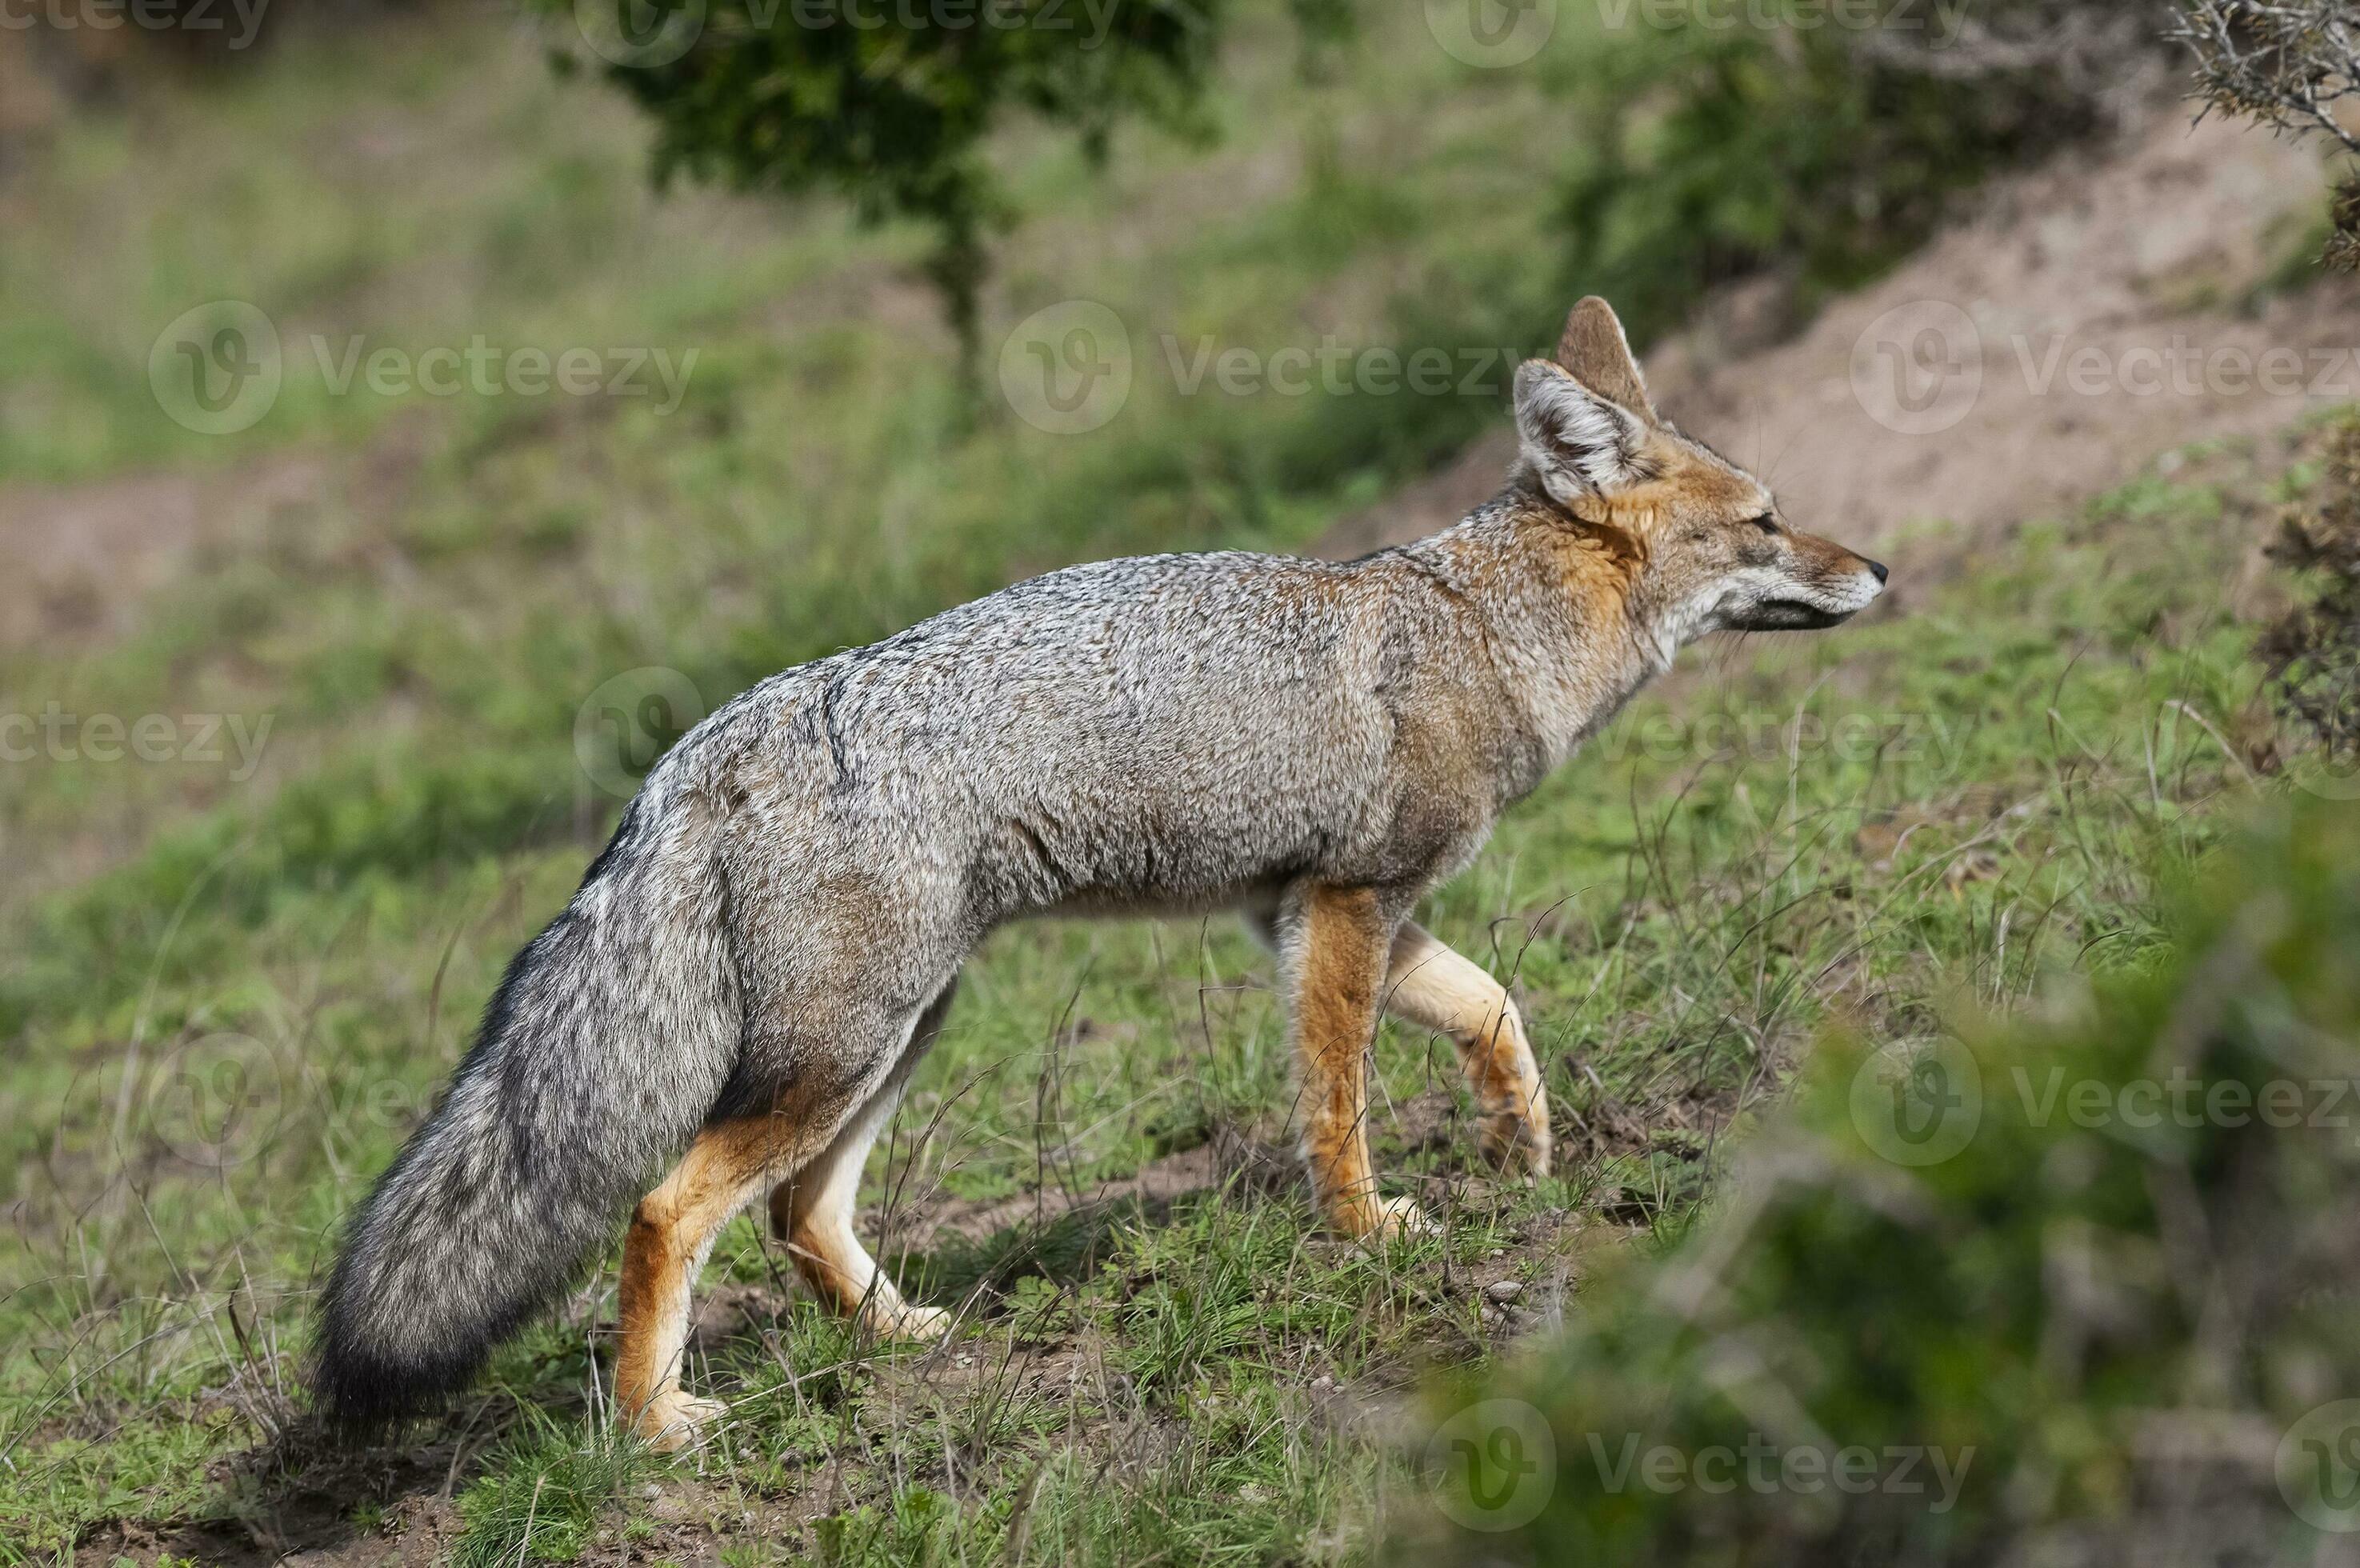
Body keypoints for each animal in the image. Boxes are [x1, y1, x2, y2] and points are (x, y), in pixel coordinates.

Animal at [313, 297, 1888, 1449]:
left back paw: (905, 1340)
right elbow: (1337, 1102)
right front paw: (1368, 1232)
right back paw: (655, 1429)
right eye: (1764, 518)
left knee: (797, 1213)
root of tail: (700, 745)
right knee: (665, 1211)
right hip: (844, 1047)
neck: (1476, 627)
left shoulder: (1315, 910)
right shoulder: (1346, 906)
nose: (1879, 570)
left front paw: (1521, 1147)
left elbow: (1497, 1011)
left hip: (896, 1034)